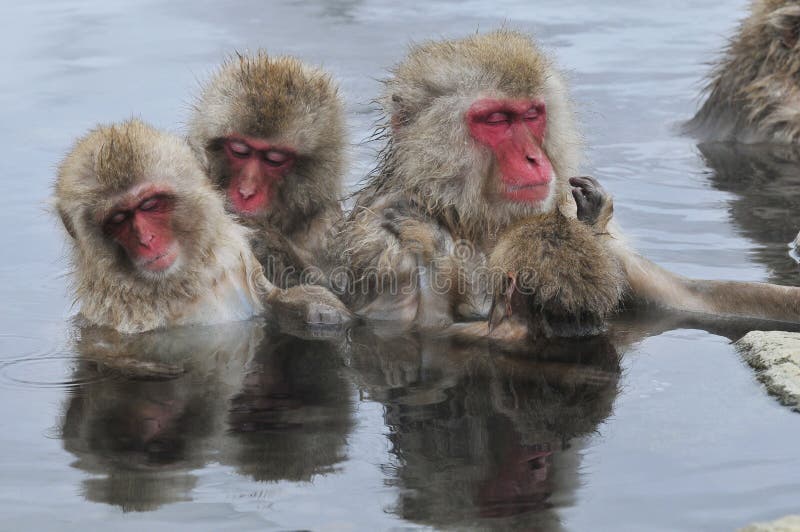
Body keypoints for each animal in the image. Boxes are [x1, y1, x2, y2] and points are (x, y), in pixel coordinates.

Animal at [337, 30, 800, 334]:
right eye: (496, 119)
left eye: (531, 114)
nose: (534, 158)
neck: (475, 218)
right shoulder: (381, 247)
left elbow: (687, 297)